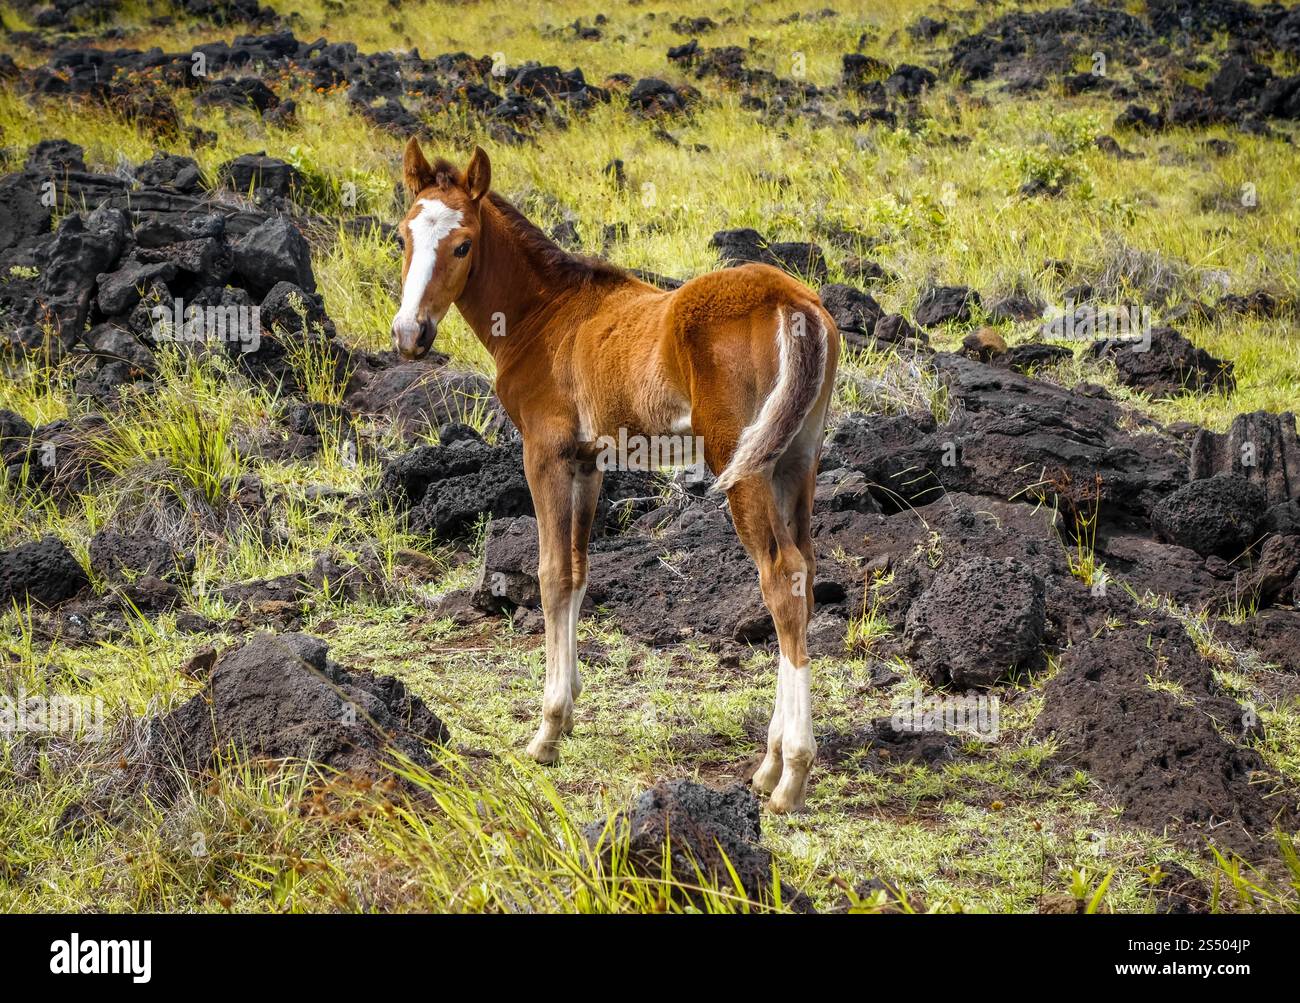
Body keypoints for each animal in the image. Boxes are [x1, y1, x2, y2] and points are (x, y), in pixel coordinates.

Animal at [391, 140, 839, 812]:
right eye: (402, 236)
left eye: (463, 244)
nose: (409, 334)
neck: (546, 312)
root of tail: (795, 303)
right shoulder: (589, 460)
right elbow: (578, 572)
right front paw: (571, 707)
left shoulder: (545, 452)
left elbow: (550, 575)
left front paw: (548, 730)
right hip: (795, 460)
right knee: (804, 575)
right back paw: (767, 765)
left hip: (742, 463)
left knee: (780, 579)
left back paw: (789, 777)